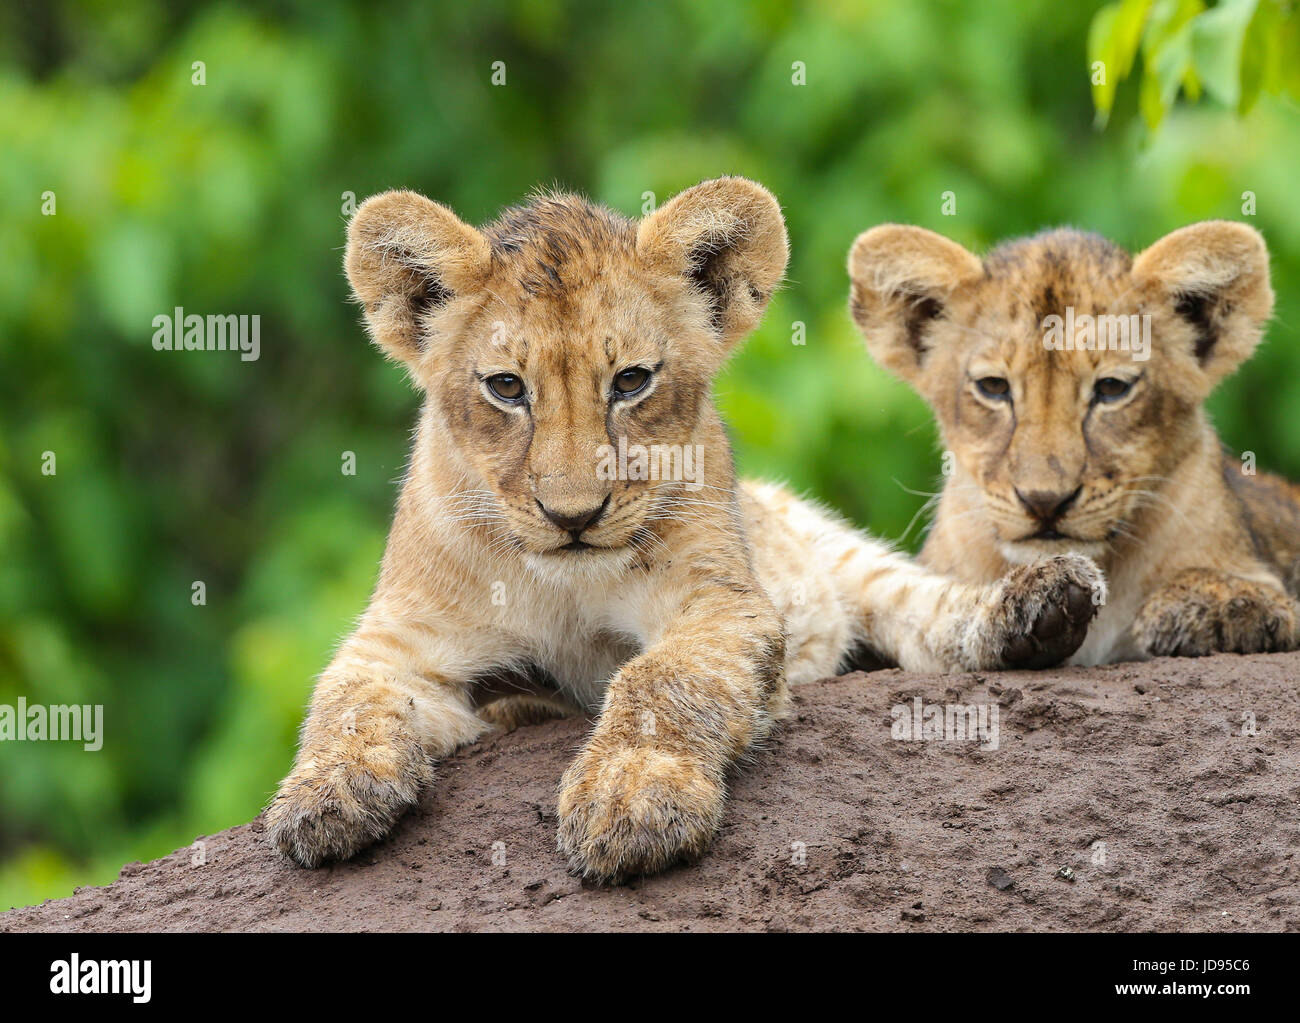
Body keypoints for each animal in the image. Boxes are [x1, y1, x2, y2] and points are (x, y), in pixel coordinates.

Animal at [264, 179, 1102, 882]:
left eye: (631, 381)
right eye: (506, 387)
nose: (574, 515)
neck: (562, 588)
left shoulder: (722, 599)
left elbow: (660, 678)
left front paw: (629, 794)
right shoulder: (400, 637)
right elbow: (344, 697)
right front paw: (325, 794)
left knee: (923, 608)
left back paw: (1042, 605)